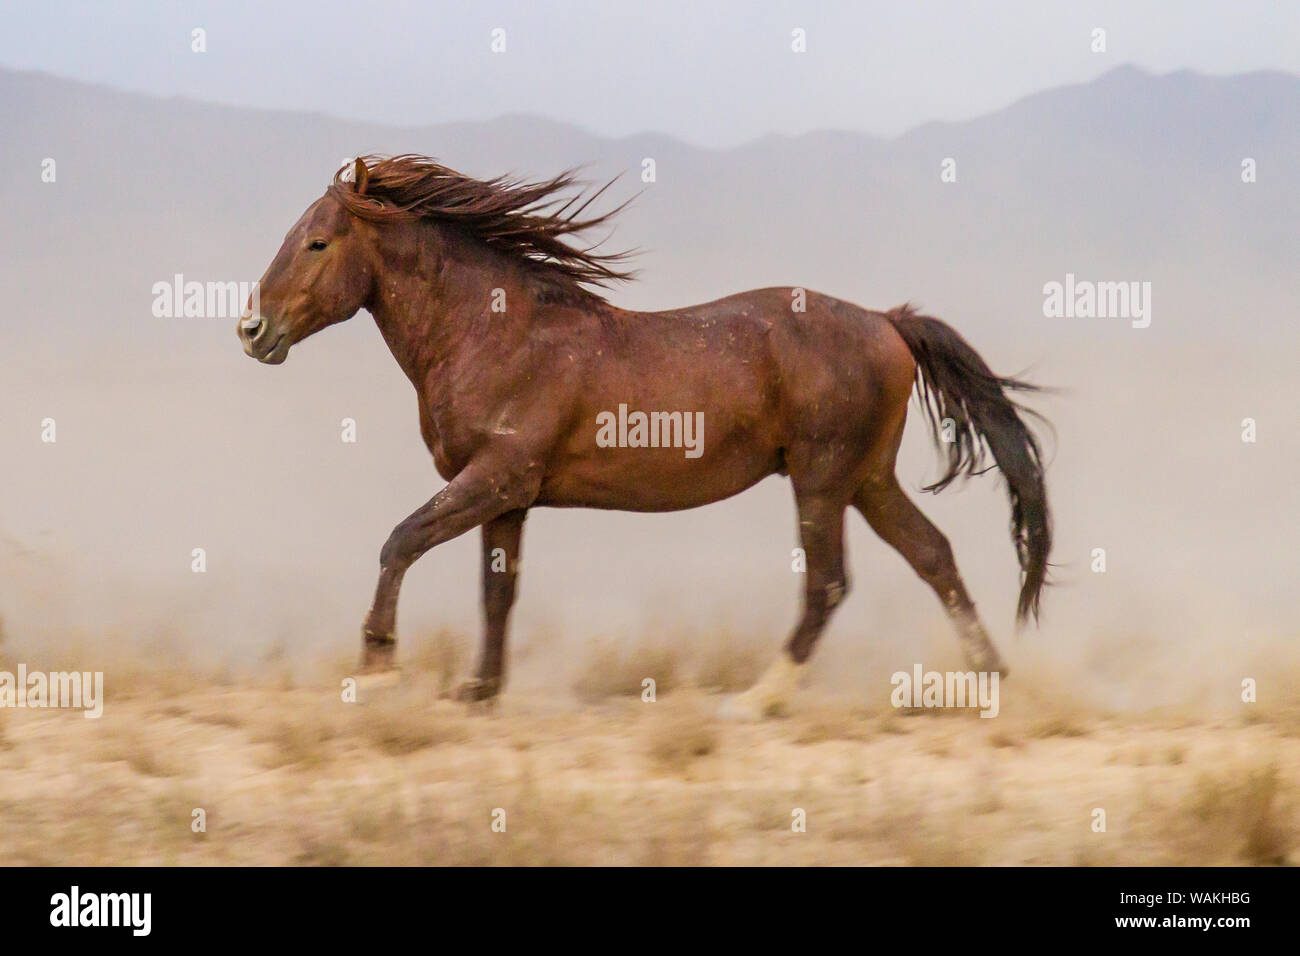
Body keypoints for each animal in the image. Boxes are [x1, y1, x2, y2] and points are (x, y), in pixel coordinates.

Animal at [239, 154, 1051, 719]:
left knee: (828, 583)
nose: (252, 329)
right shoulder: (508, 496)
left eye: (317, 243)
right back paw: (990, 681)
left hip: (822, 480)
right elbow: (497, 592)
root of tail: (887, 322)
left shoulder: (495, 477)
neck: (493, 331)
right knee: (932, 555)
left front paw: (377, 671)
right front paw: (478, 689)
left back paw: (756, 700)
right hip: (867, 481)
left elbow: (400, 541)